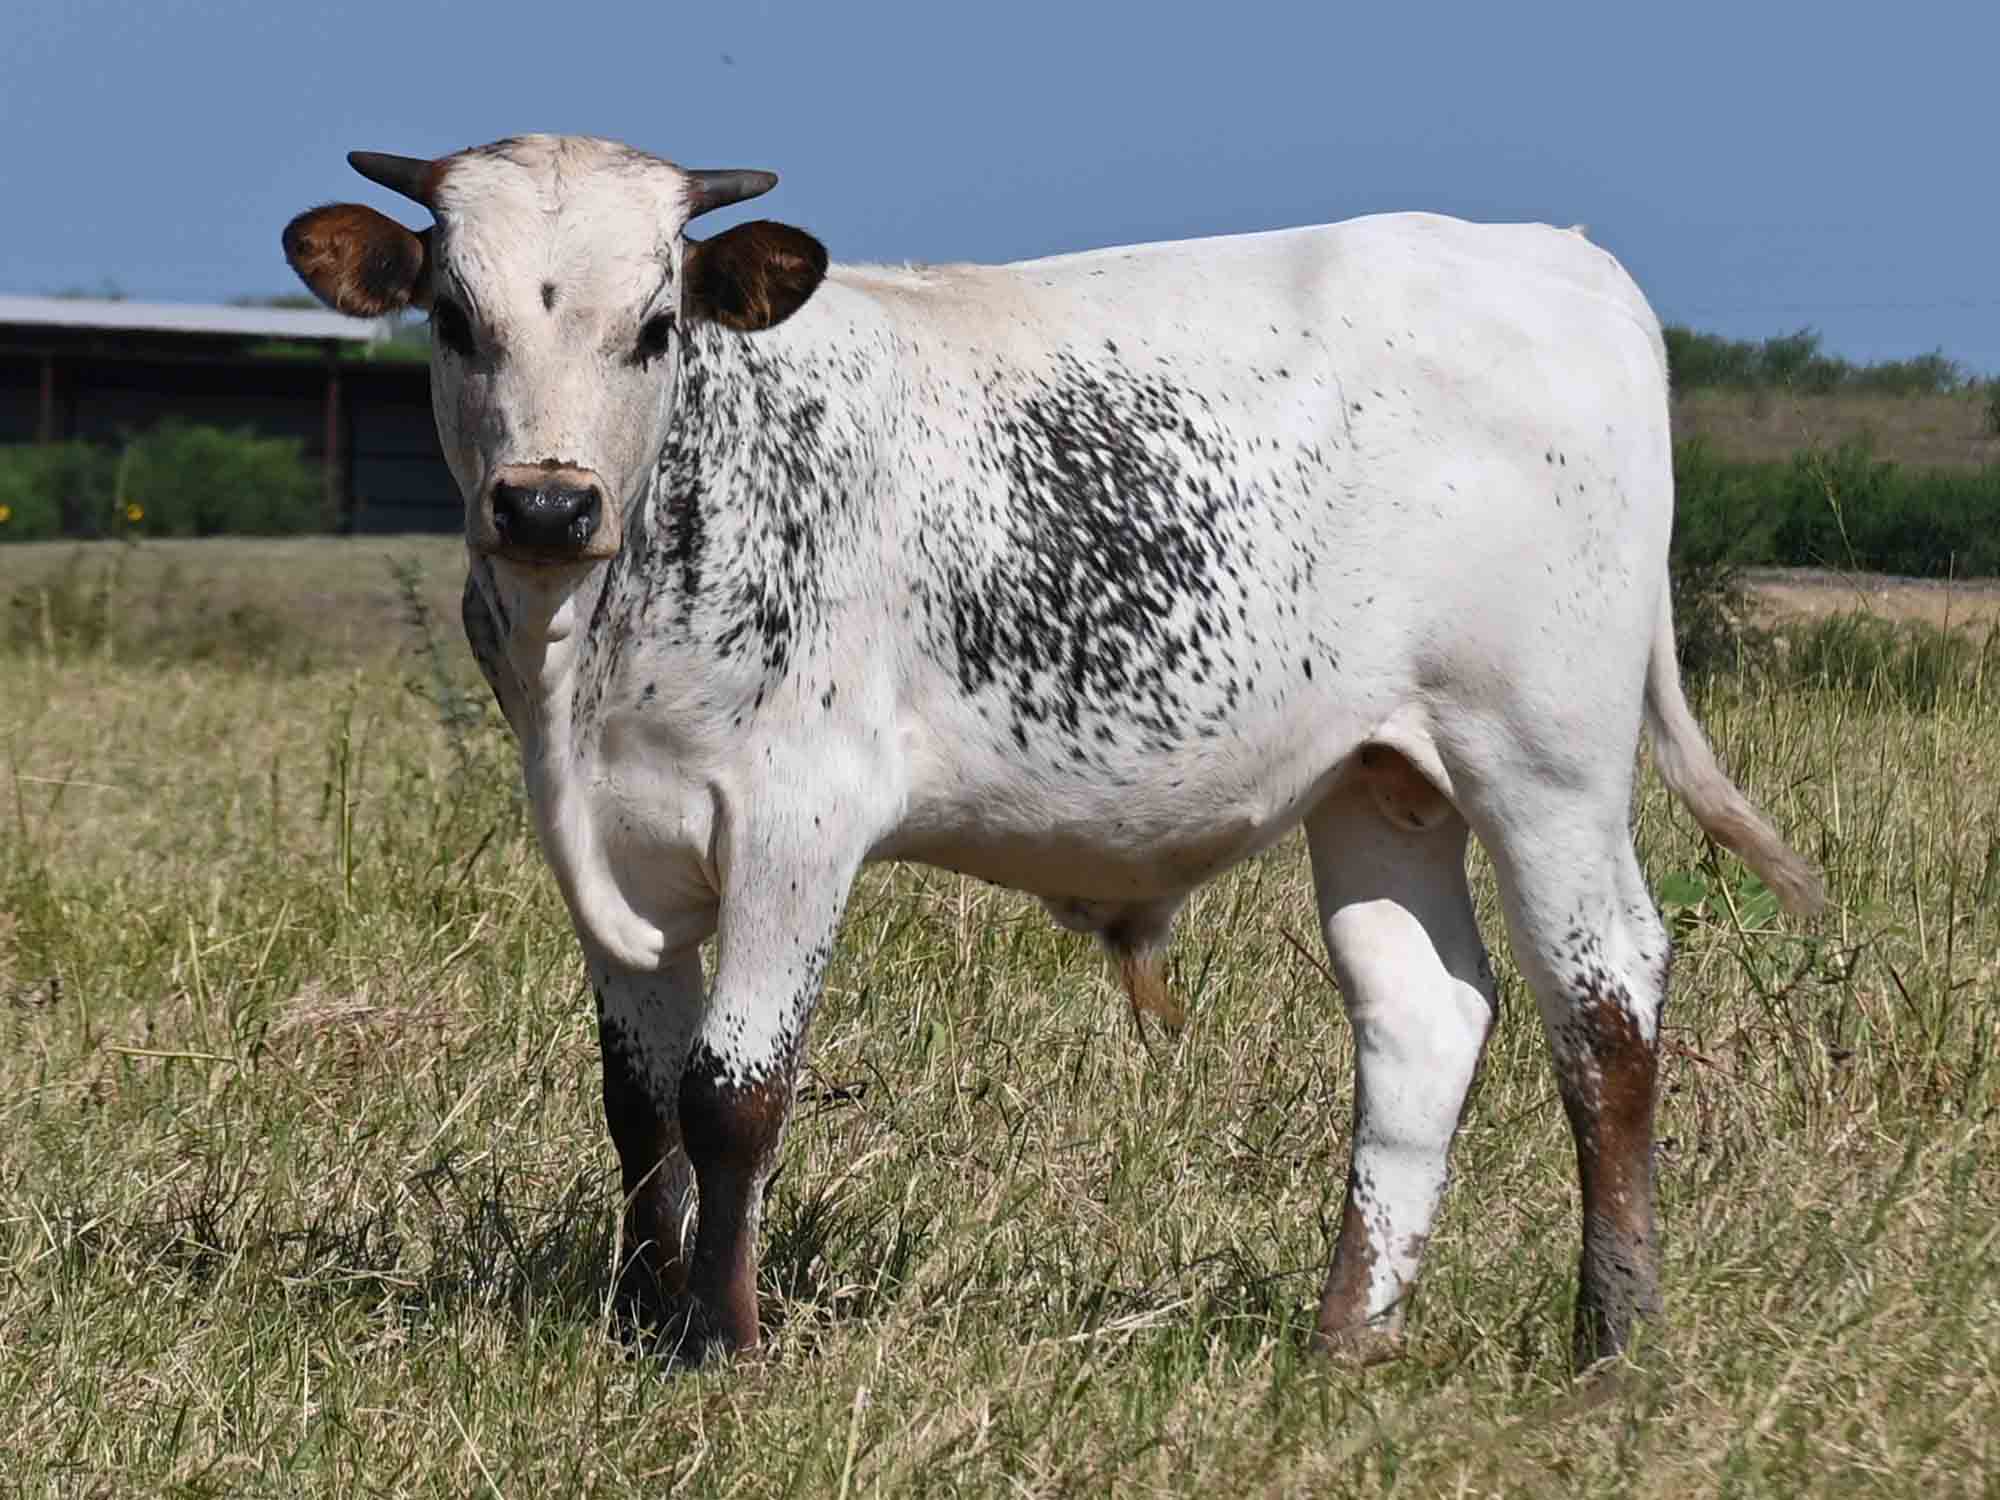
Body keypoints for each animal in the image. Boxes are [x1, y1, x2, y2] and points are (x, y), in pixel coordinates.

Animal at [282, 135, 1822, 1370]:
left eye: (656, 325)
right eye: (454, 318)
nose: (545, 503)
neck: (596, 645)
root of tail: (1557, 258)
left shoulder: (796, 821)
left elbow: (732, 1094)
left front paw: (718, 1342)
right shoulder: (605, 845)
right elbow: (637, 1101)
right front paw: (638, 1317)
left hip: (1545, 760)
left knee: (1603, 1004)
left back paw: (1613, 1338)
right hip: (1383, 780)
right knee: (1419, 1018)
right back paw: (1348, 1340)